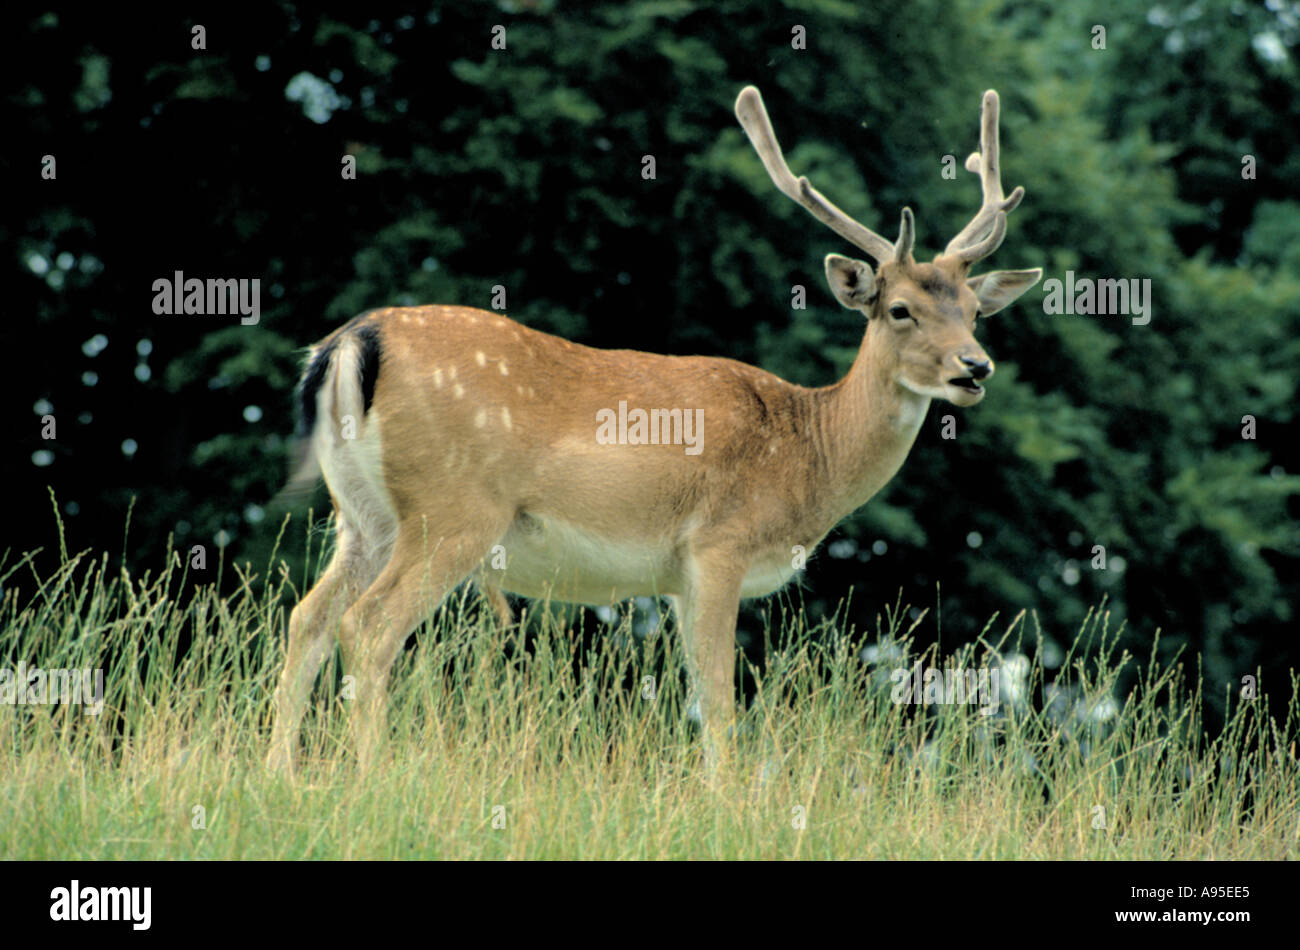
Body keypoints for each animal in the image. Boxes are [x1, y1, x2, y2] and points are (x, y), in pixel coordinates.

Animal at [265, 85, 1042, 776]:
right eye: (900, 310)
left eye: (976, 309)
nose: (976, 367)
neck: (807, 456)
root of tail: (349, 343)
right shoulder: (718, 544)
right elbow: (720, 703)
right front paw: (729, 806)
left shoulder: (674, 580)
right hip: (453, 509)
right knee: (367, 626)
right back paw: (371, 776)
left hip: (362, 515)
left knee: (307, 617)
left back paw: (279, 776)